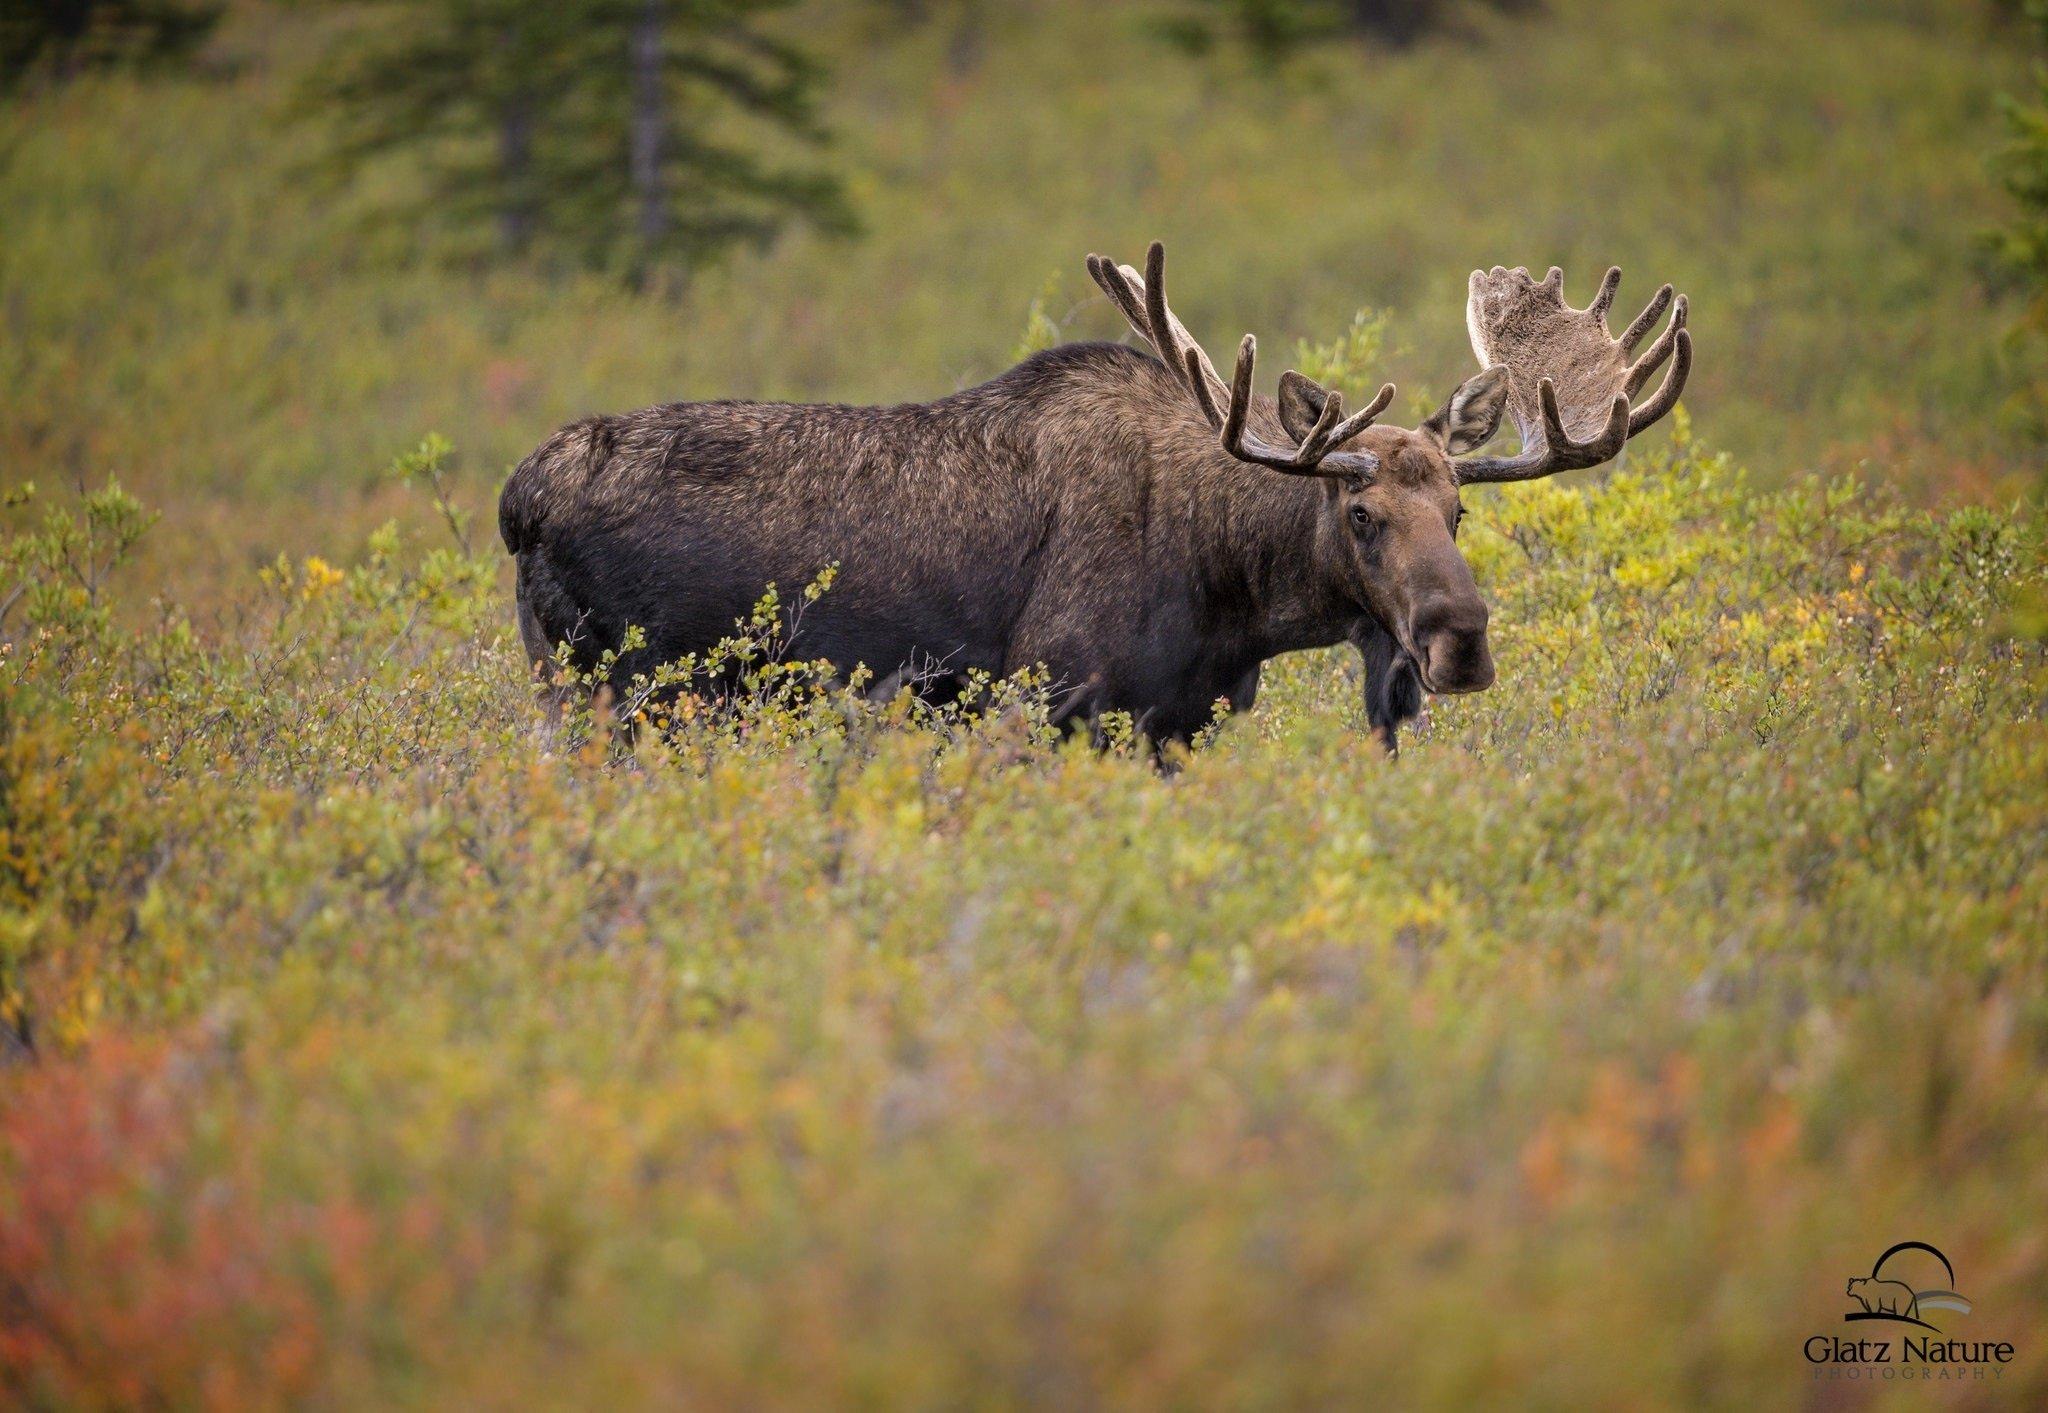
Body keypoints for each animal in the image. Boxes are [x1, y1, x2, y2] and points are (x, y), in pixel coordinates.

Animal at [498, 243, 1690, 751]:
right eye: (1360, 515)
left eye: (1459, 512)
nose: (1460, 640)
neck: (1235, 600)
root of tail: (520, 497)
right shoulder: (1053, 702)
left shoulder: (1179, 725)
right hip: (623, 689)